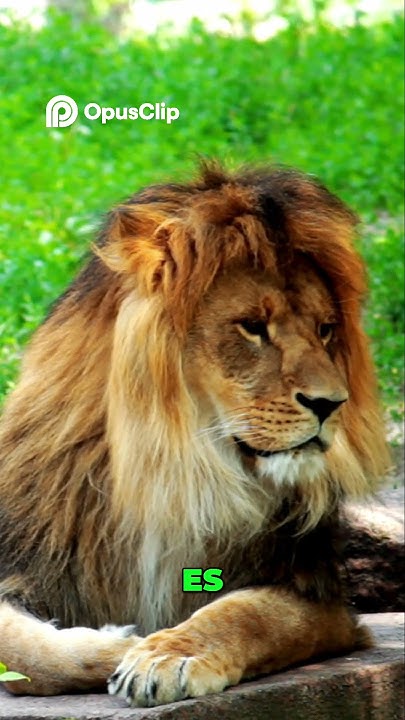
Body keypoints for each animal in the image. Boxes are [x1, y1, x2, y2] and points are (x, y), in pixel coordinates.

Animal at [0, 161, 389, 707]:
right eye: (253, 327)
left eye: (326, 329)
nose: (332, 403)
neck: (177, 467)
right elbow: (21, 650)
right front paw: (116, 644)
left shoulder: (323, 599)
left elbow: (245, 614)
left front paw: (165, 654)